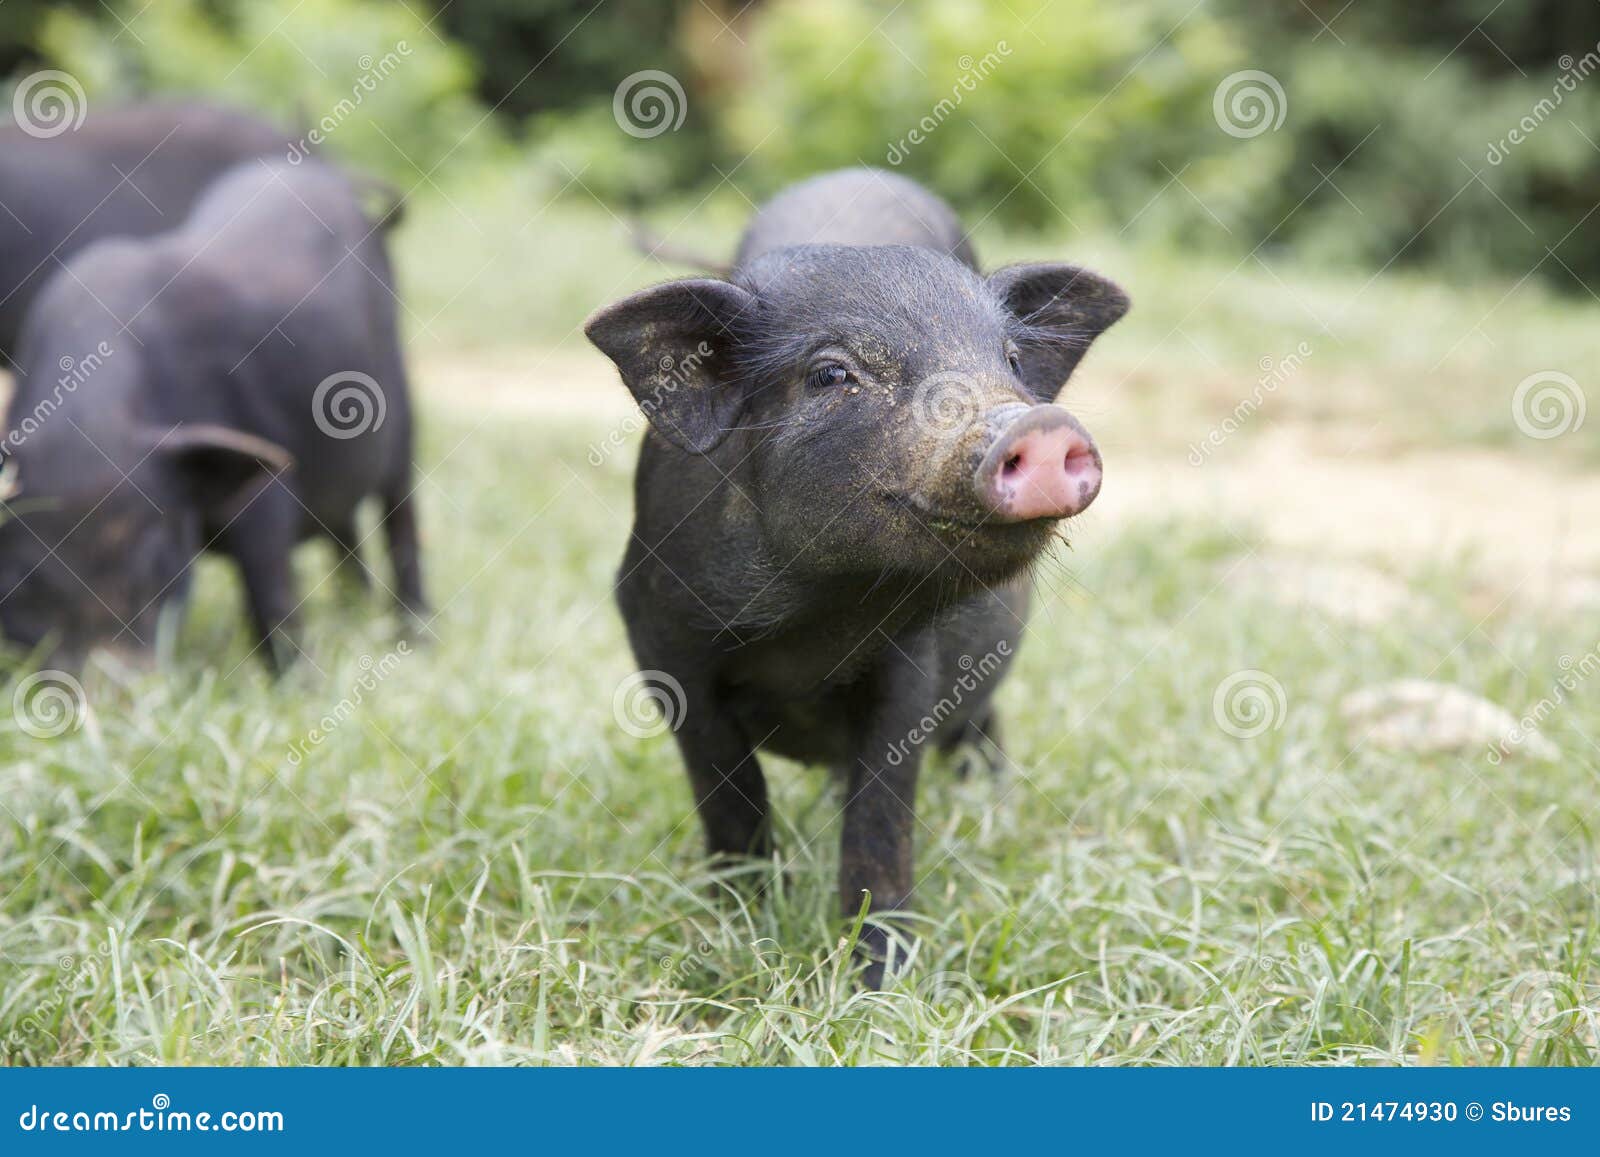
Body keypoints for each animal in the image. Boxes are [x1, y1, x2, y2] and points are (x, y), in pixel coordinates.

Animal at [0, 158, 424, 670]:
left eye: (154, 559)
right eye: (21, 580)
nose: (120, 683)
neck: (91, 426)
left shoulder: (267, 485)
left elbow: (271, 596)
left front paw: (298, 679)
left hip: (400, 416)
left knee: (401, 519)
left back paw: (418, 635)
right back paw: (354, 609)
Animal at [586, 167, 1127, 986]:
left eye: (1007, 359)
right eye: (831, 373)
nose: (1037, 425)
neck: (811, 620)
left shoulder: (914, 660)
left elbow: (881, 809)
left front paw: (882, 977)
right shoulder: (659, 637)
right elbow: (729, 790)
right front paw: (742, 929)